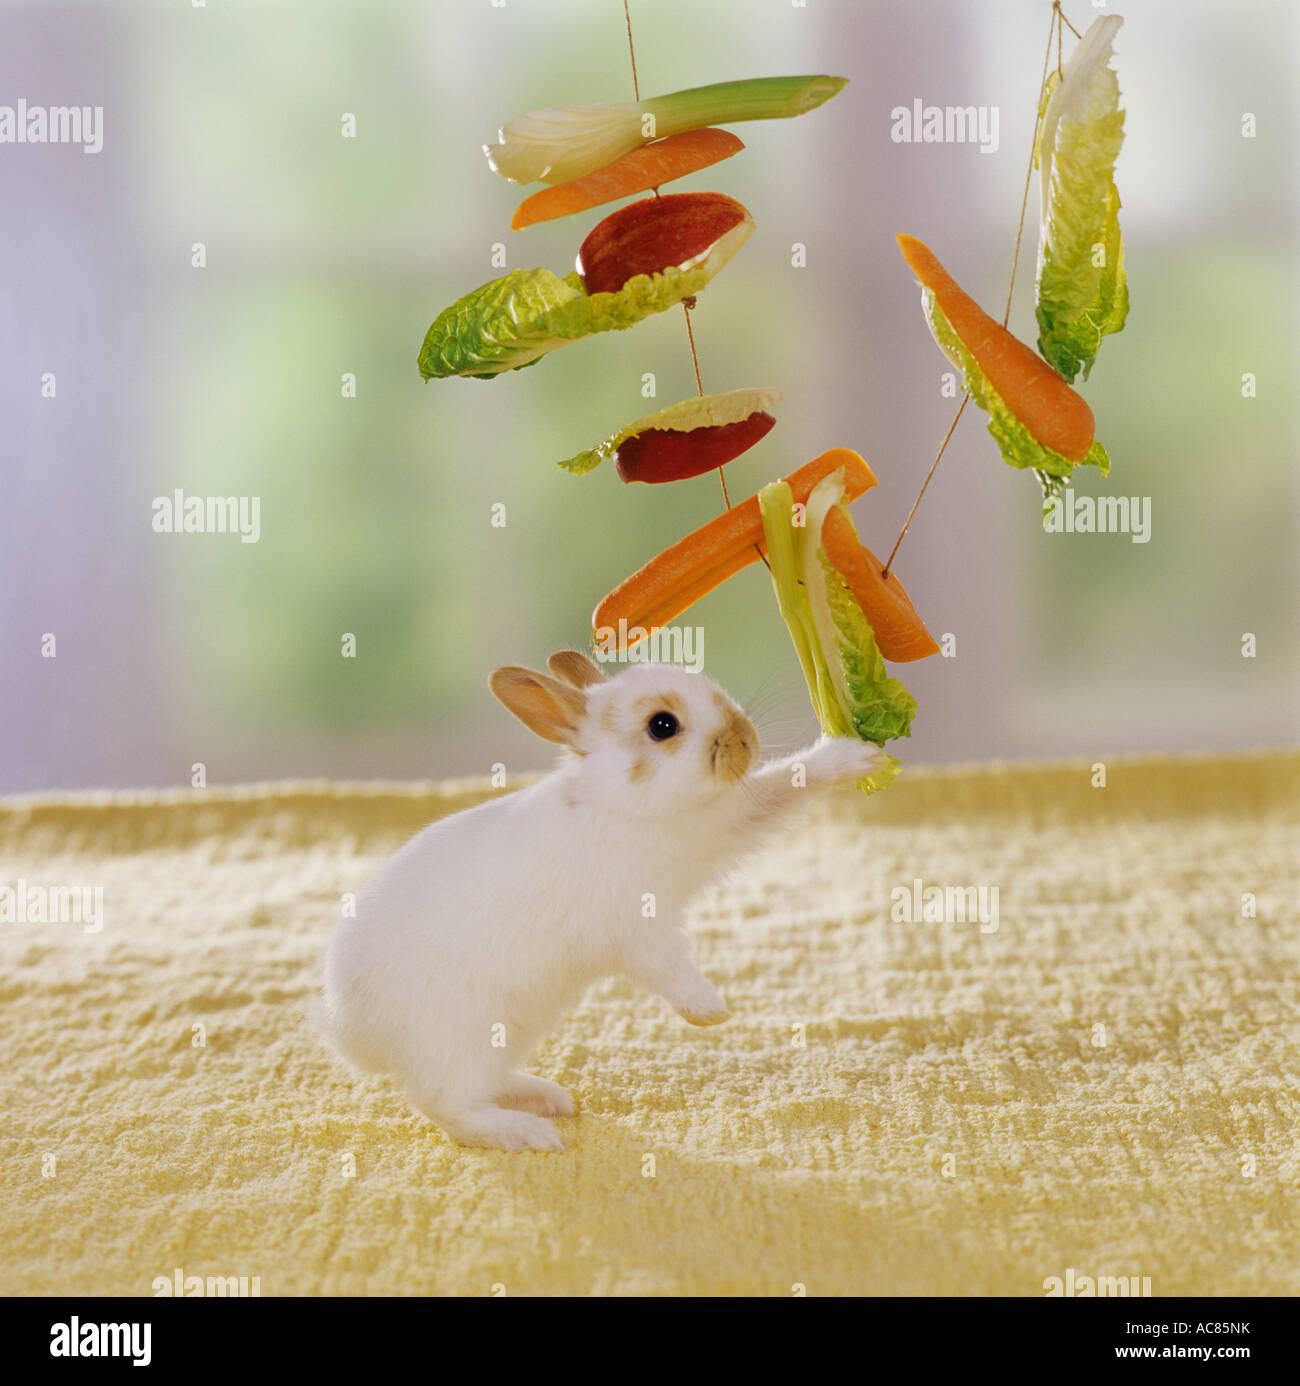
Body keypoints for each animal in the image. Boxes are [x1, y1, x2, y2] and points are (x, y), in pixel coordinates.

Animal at [319, 650, 887, 1152]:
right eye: (662, 725)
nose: (745, 739)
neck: (619, 805)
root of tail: (351, 1030)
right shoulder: (640, 932)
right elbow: (672, 970)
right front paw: (710, 1012)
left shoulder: (722, 824)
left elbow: (782, 787)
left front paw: (856, 756)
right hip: (456, 1040)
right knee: (447, 1108)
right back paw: (528, 1133)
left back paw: (546, 1097)